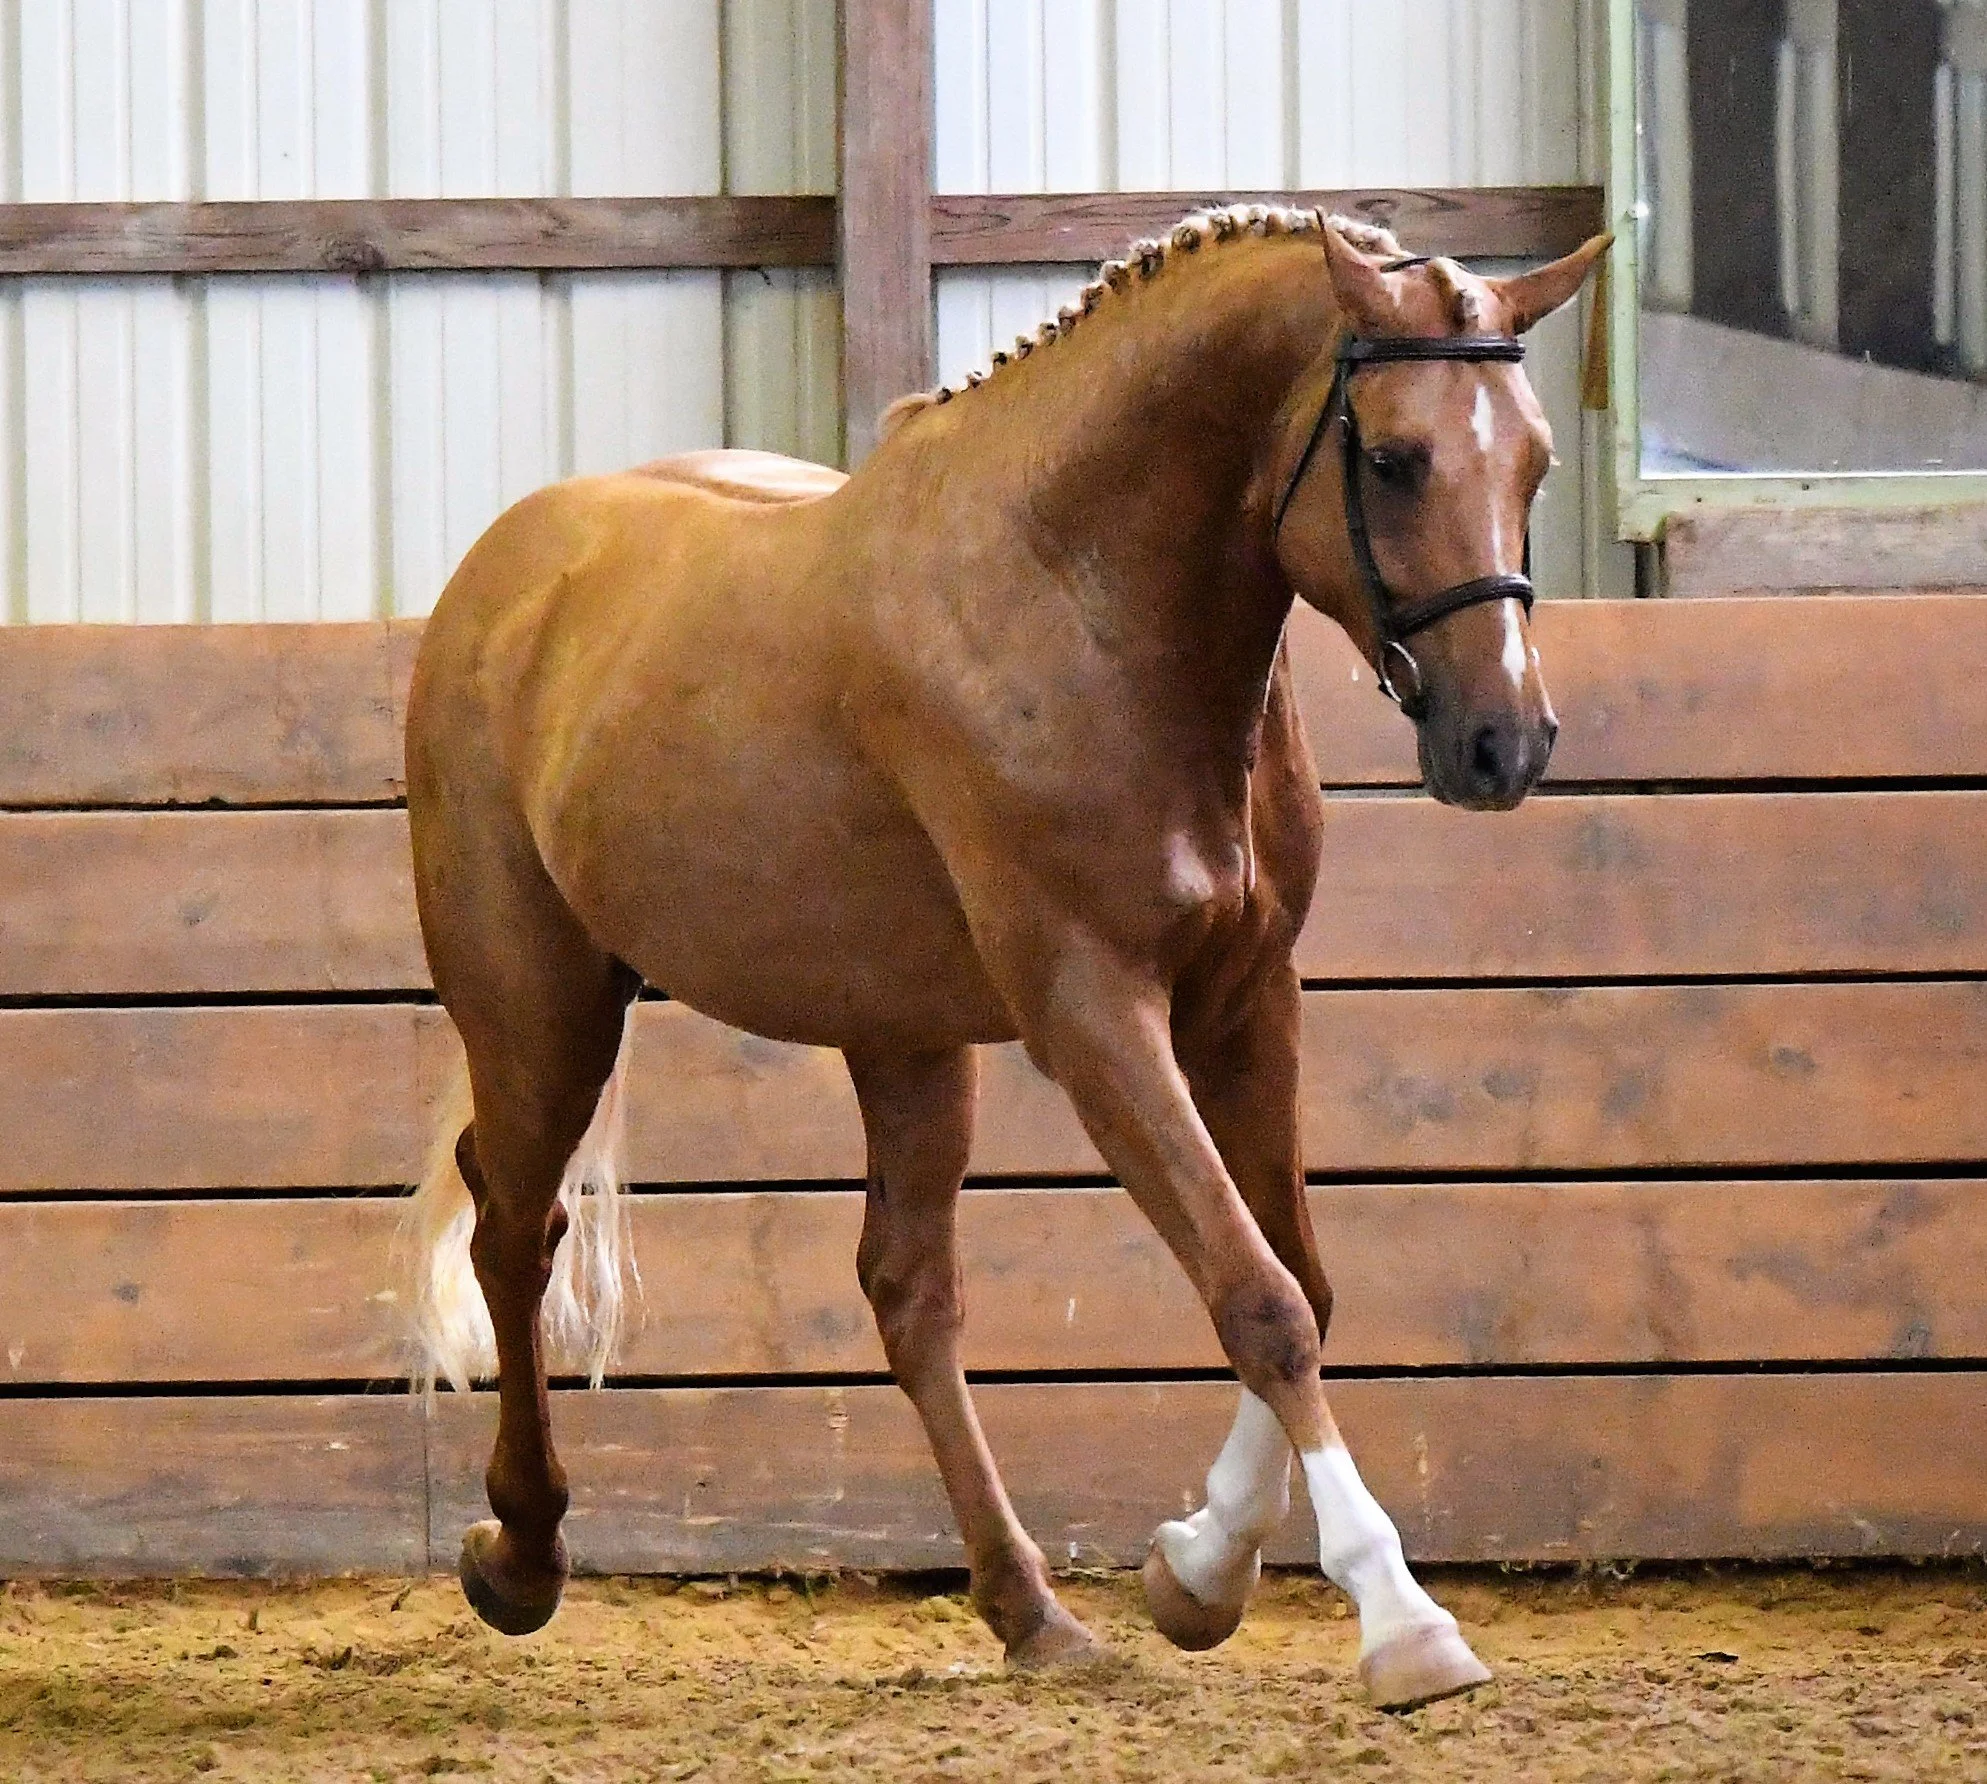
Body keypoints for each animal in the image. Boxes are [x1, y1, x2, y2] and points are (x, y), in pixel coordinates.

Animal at [401, 205, 1609, 1710]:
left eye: (1532, 458)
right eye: (1391, 457)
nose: (1504, 742)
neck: (1079, 601)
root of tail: (511, 568)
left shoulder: (1241, 1003)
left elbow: (1299, 1281)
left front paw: (1197, 1567)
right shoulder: (1093, 1015)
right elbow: (1258, 1294)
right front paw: (1399, 1620)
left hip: (901, 1035)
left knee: (907, 1293)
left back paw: (1027, 1605)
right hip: (541, 1009)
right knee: (515, 1231)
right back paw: (522, 1554)